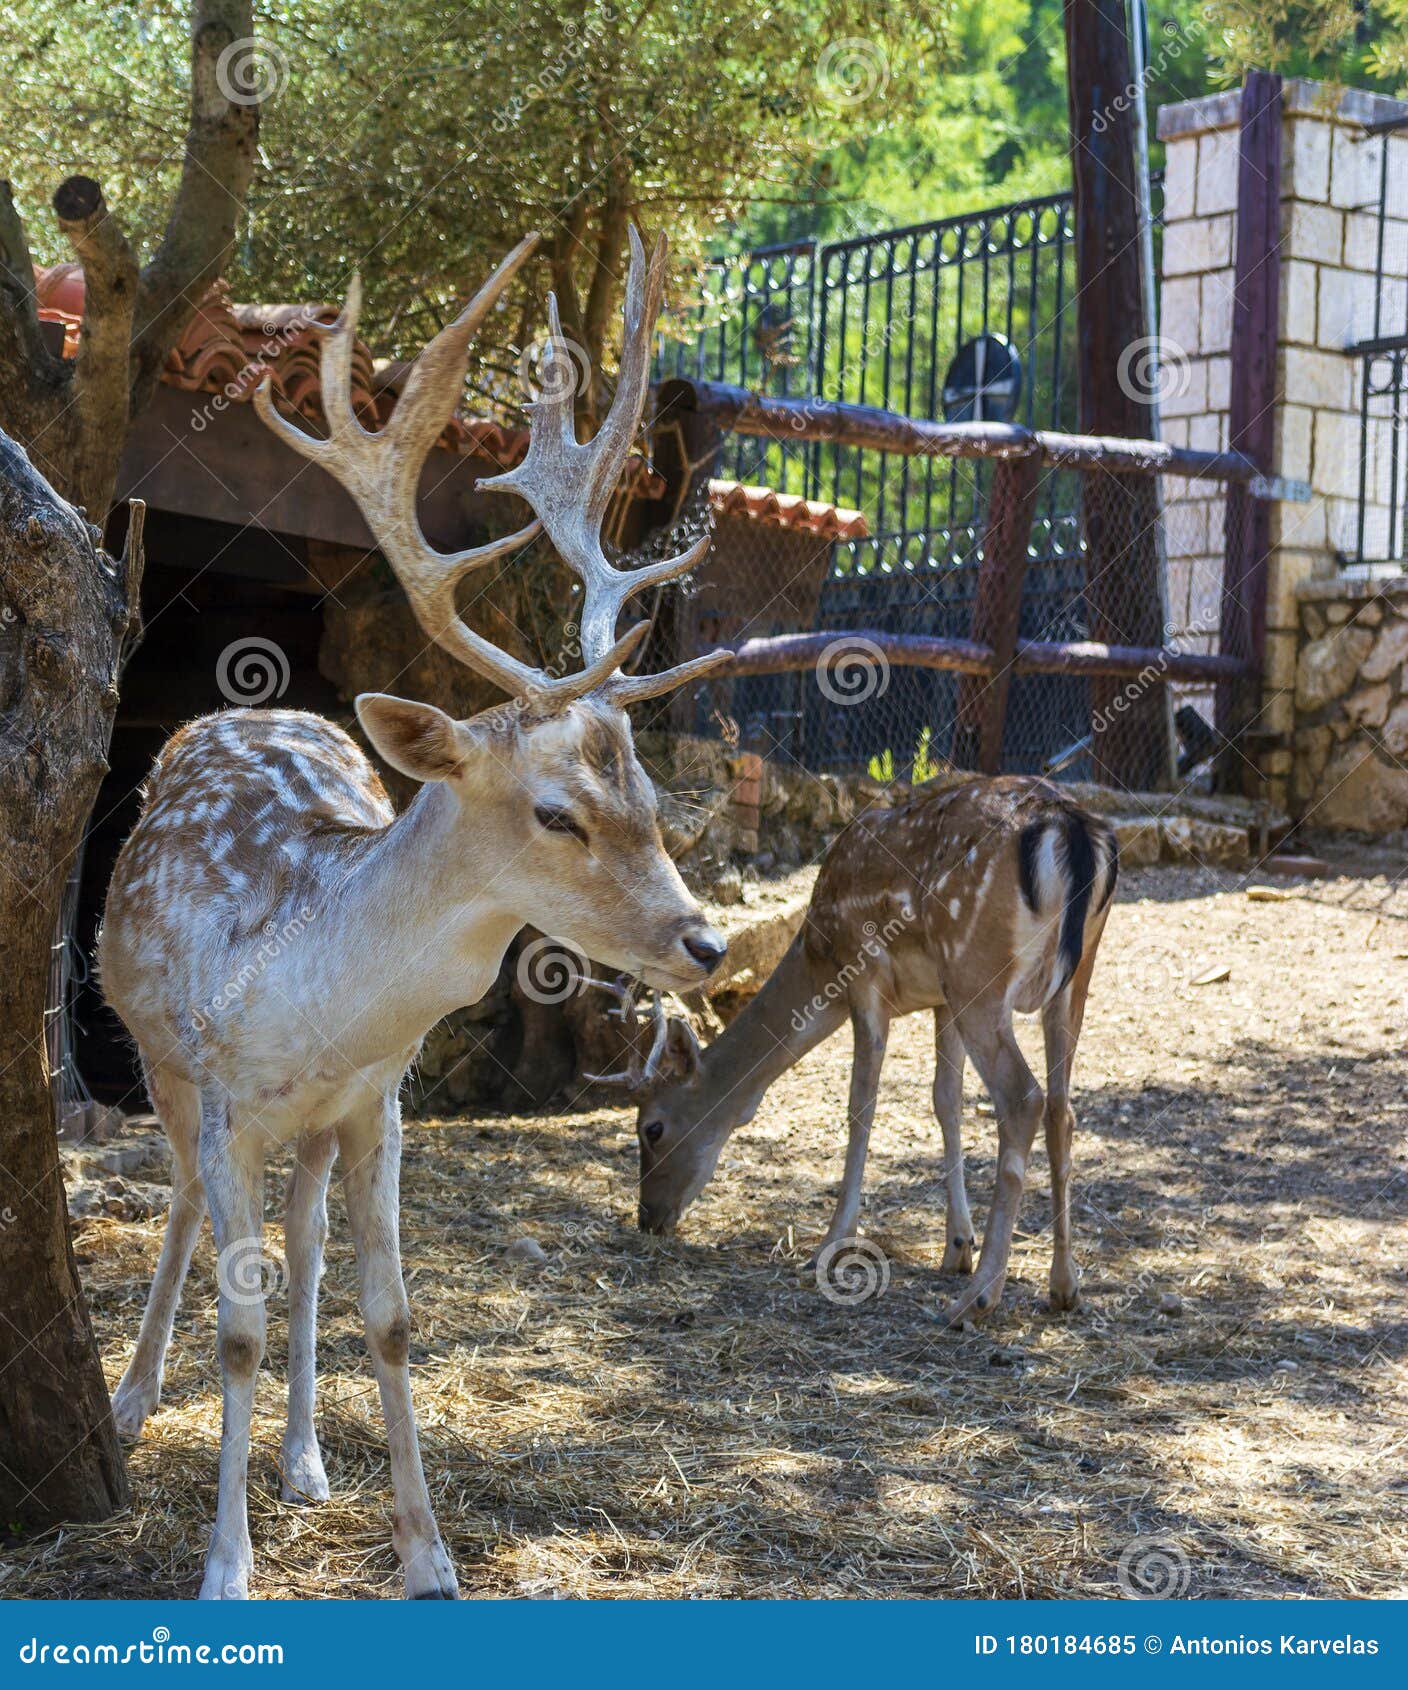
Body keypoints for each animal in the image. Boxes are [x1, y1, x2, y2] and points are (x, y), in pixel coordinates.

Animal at [97, 229, 730, 1601]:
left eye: (648, 796)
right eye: (556, 813)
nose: (704, 942)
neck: (314, 999)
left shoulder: (377, 1100)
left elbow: (388, 1312)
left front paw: (427, 1557)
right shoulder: (222, 1091)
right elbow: (234, 1321)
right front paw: (225, 1570)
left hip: (318, 1130)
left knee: (305, 1239)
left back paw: (301, 1459)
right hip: (159, 1060)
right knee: (183, 1209)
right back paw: (127, 1397)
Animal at [601, 776, 1118, 1327]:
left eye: (651, 1127)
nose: (648, 1216)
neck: (817, 951)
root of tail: (1068, 824)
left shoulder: (864, 972)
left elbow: (860, 1105)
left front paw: (830, 1244)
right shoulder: (941, 999)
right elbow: (945, 1102)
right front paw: (957, 1247)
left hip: (977, 966)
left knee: (1023, 1099)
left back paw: (977, 1300)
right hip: (1072, 975)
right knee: (1062, 1108)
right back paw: (1064, 1286)